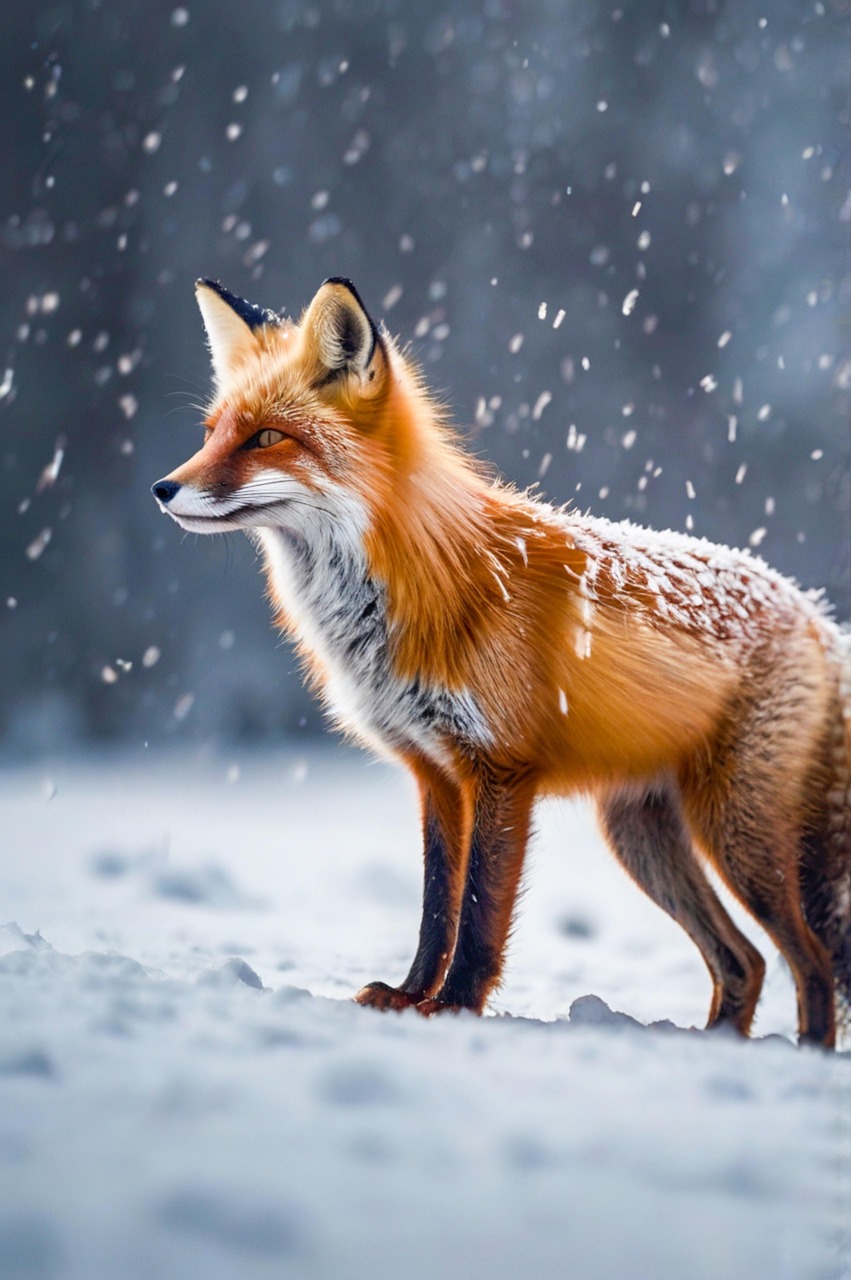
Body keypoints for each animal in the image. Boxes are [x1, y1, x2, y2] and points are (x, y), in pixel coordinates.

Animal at [152, 276, 851, 1048]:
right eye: (211, 433)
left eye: (268, 437)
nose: (163, 488)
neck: (420, 582)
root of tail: (815, 613)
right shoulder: (433, 774)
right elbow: (436, 909)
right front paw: (408, 996)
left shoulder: (501, 768)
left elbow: (481, 913)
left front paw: (455, 1005)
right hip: (641, 837)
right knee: (745, 962)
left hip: (737, 834)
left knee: (811, 961)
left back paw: (807, 1054)